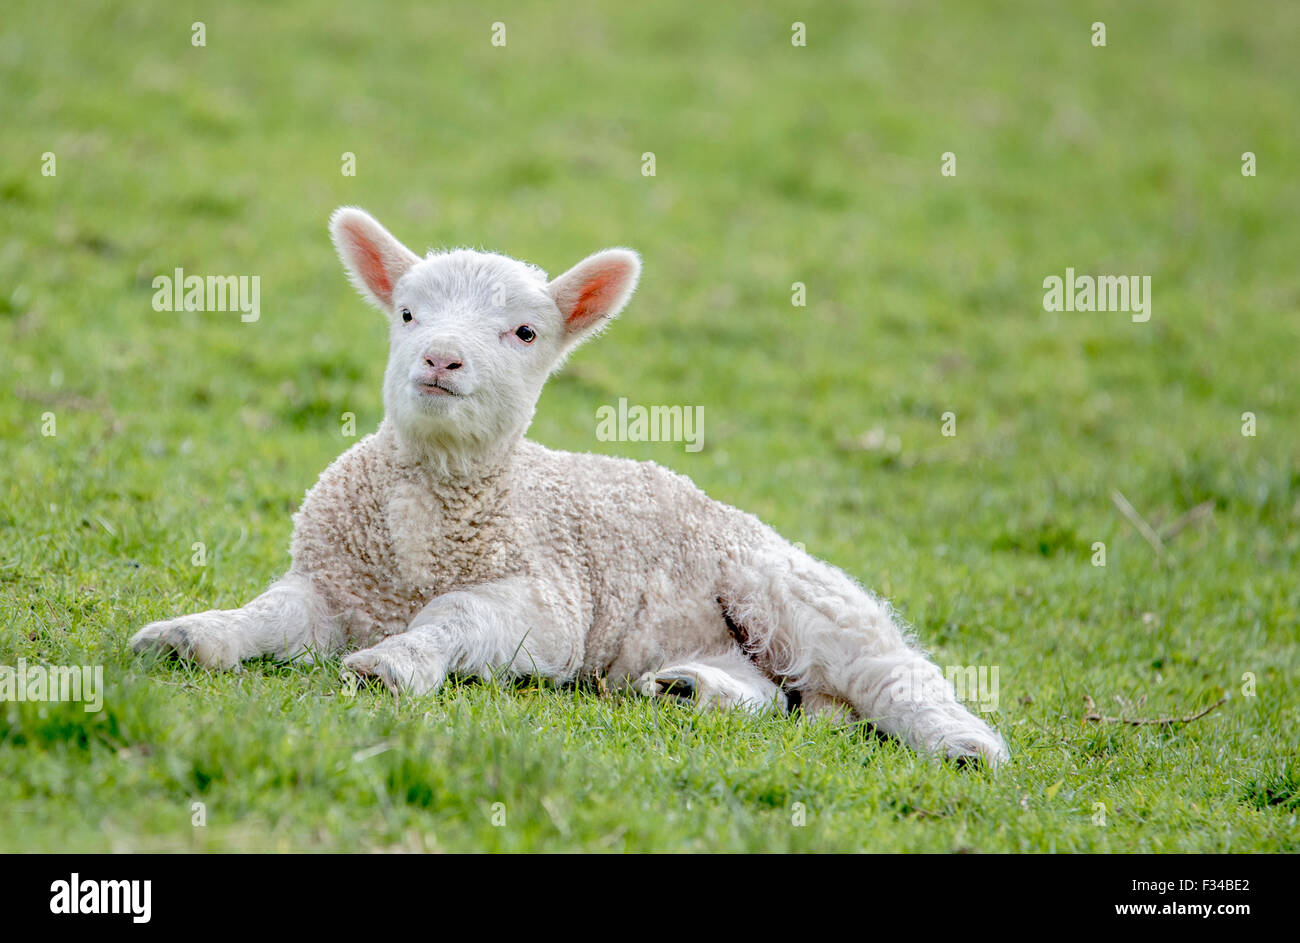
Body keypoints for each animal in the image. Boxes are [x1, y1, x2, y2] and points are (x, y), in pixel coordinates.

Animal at [131, 207, 1011, 767]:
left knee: (888, 667)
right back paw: (690, 687)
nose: (441, 358)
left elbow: (453, 618)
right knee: (768, 692)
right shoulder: (328, 581)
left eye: (525, 332)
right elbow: (265, 614)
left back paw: (965, 745)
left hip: (789, 591)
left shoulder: (542, 606)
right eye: (407, 313)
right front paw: (191, 635)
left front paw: (393, 664)